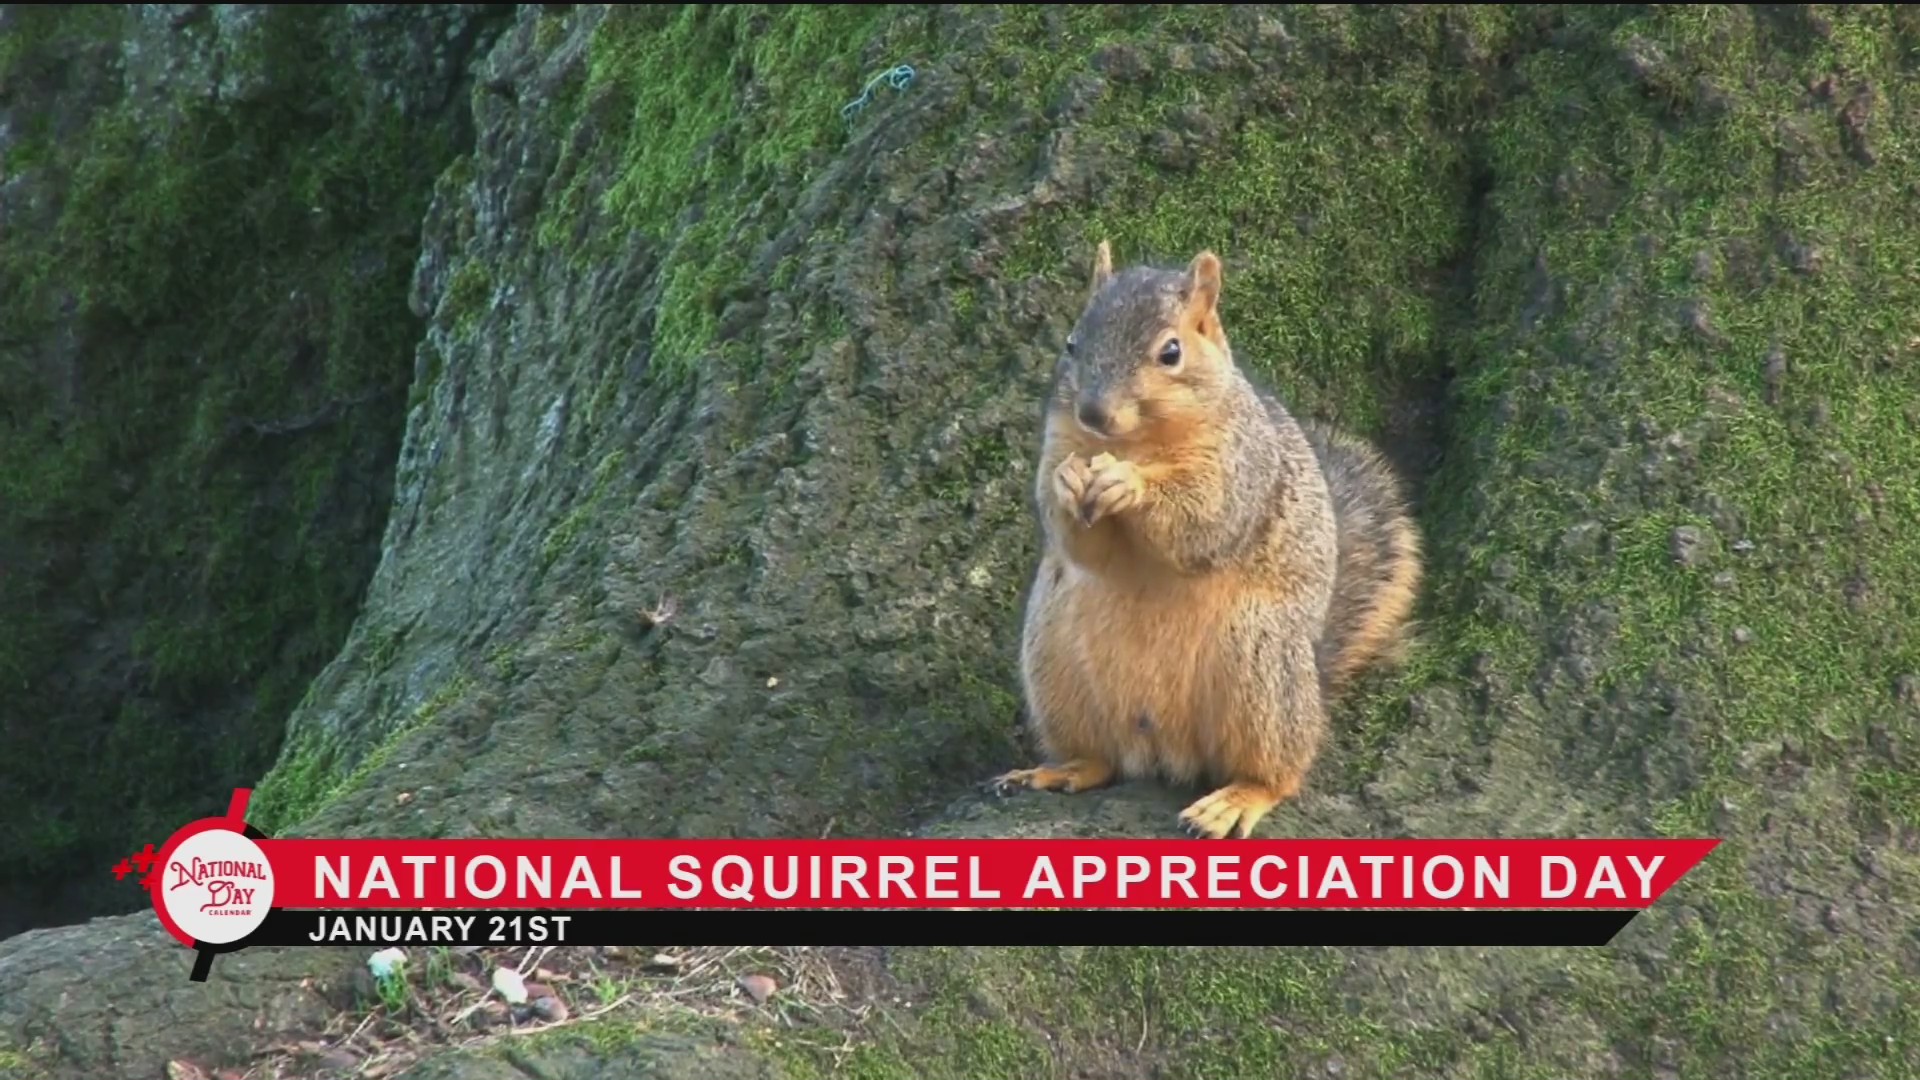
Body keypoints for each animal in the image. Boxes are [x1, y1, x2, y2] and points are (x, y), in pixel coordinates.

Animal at [989, 241, 1424, 839]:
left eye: (1171, 352)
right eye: (1072, 343)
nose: (1094, 413)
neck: (1137, 442)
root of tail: (1164, 747)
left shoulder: (1238, 465)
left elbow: (1204, 517)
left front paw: (1129, 484)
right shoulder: (1061, 439)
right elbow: (1078, 542)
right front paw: (1067, 483)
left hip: (1259, 667)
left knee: (1279, 769)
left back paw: (1237, 799)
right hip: (1055, 664)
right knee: (1101, 759)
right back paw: (1061, 770)